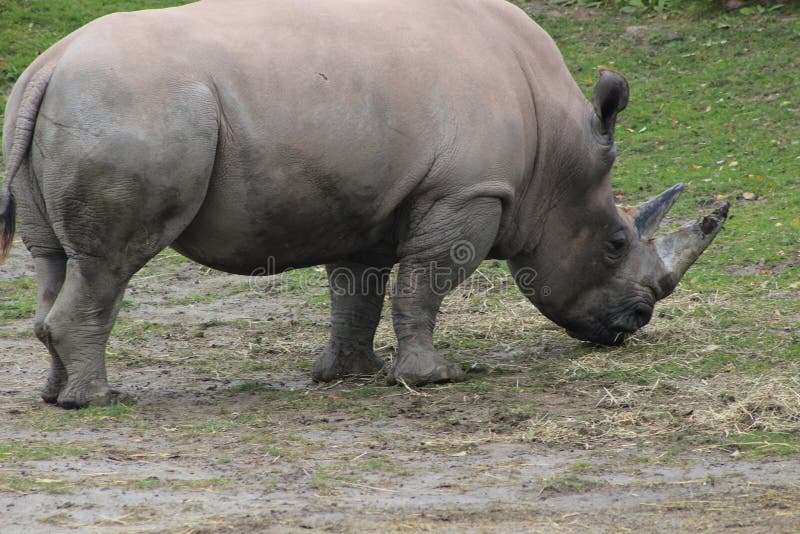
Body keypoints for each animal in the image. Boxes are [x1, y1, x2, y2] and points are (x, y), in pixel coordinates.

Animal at [0, 0, 727, 409]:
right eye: (614, 243)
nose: (634, 322)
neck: (556, 159)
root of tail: (47, 65)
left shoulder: (371, 201)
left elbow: (359, 290)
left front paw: (348, 376)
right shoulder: (468, 190)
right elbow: (426, 283)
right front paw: (435, 379)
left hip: (69, 106)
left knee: (54, 259)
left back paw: (56, 393)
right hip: (133, 110)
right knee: (109, 265)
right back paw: (99, 401)